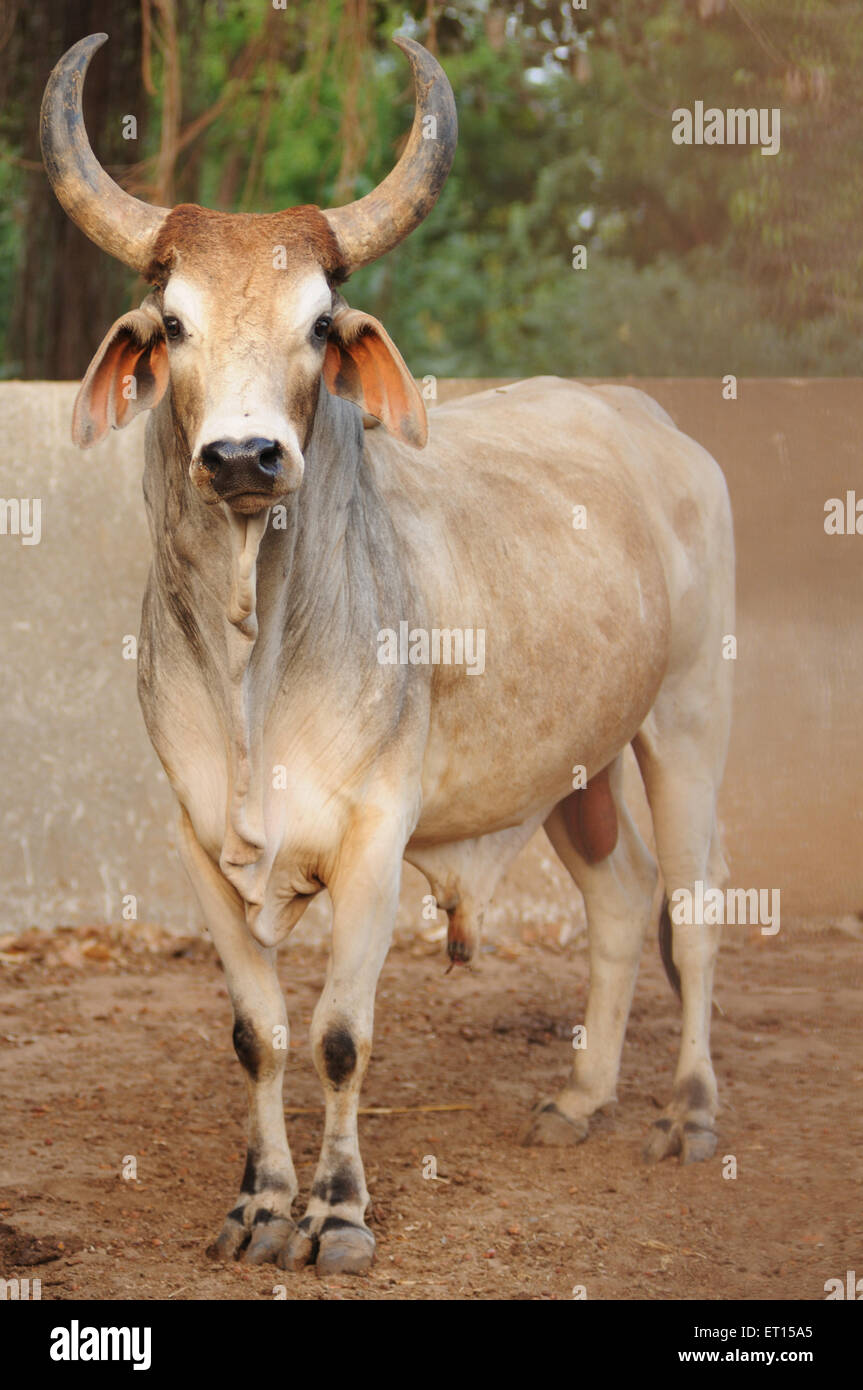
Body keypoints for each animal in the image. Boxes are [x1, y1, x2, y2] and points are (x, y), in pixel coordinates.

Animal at [41, 33, 735, 1278]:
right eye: (173, 322)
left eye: (320, 325)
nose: (244, 456)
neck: (256, 656)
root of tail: (654, 427)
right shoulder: (195, 842)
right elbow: (259, 1033)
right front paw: (260, 1204)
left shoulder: (373, 836)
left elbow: (337, 1035)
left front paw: (339, 1211)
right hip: (575, 768)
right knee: (621, 902)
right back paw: (580, 1098)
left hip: (688, 717)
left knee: (692, 911)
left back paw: (687, 1112)